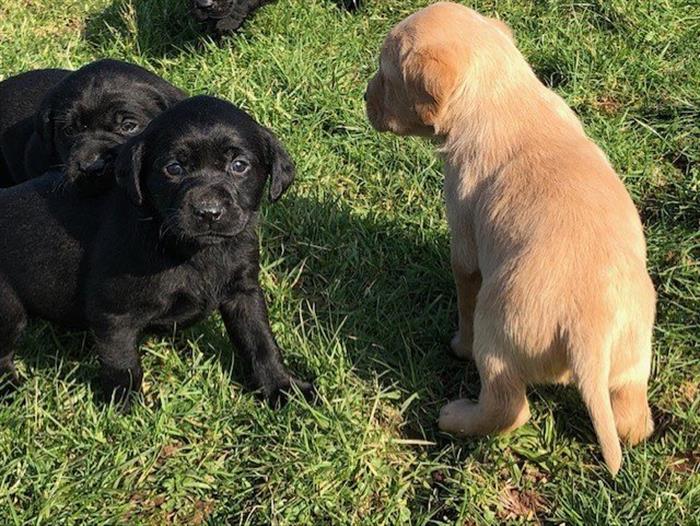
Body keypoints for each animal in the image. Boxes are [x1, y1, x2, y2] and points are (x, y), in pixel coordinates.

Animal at [0, 95, 312, 408]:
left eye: (239, 165)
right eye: (173, 168)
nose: (208, 212)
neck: (194, 251)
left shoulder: (243, 292)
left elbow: (260, 342)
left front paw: (281, 387)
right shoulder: (114, 315)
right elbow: (123, 365)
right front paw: (124, 409)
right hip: (9, 310)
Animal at [366, 1, 656, 478]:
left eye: (385, 76)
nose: (363, 97)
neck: (504, 97)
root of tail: (588, 331)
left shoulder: (464, 240)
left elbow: (463, 288)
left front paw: (457, 345)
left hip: (498, 336)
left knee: (508, 408)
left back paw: (455, 416)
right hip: (633, 352)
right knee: (632, 418)